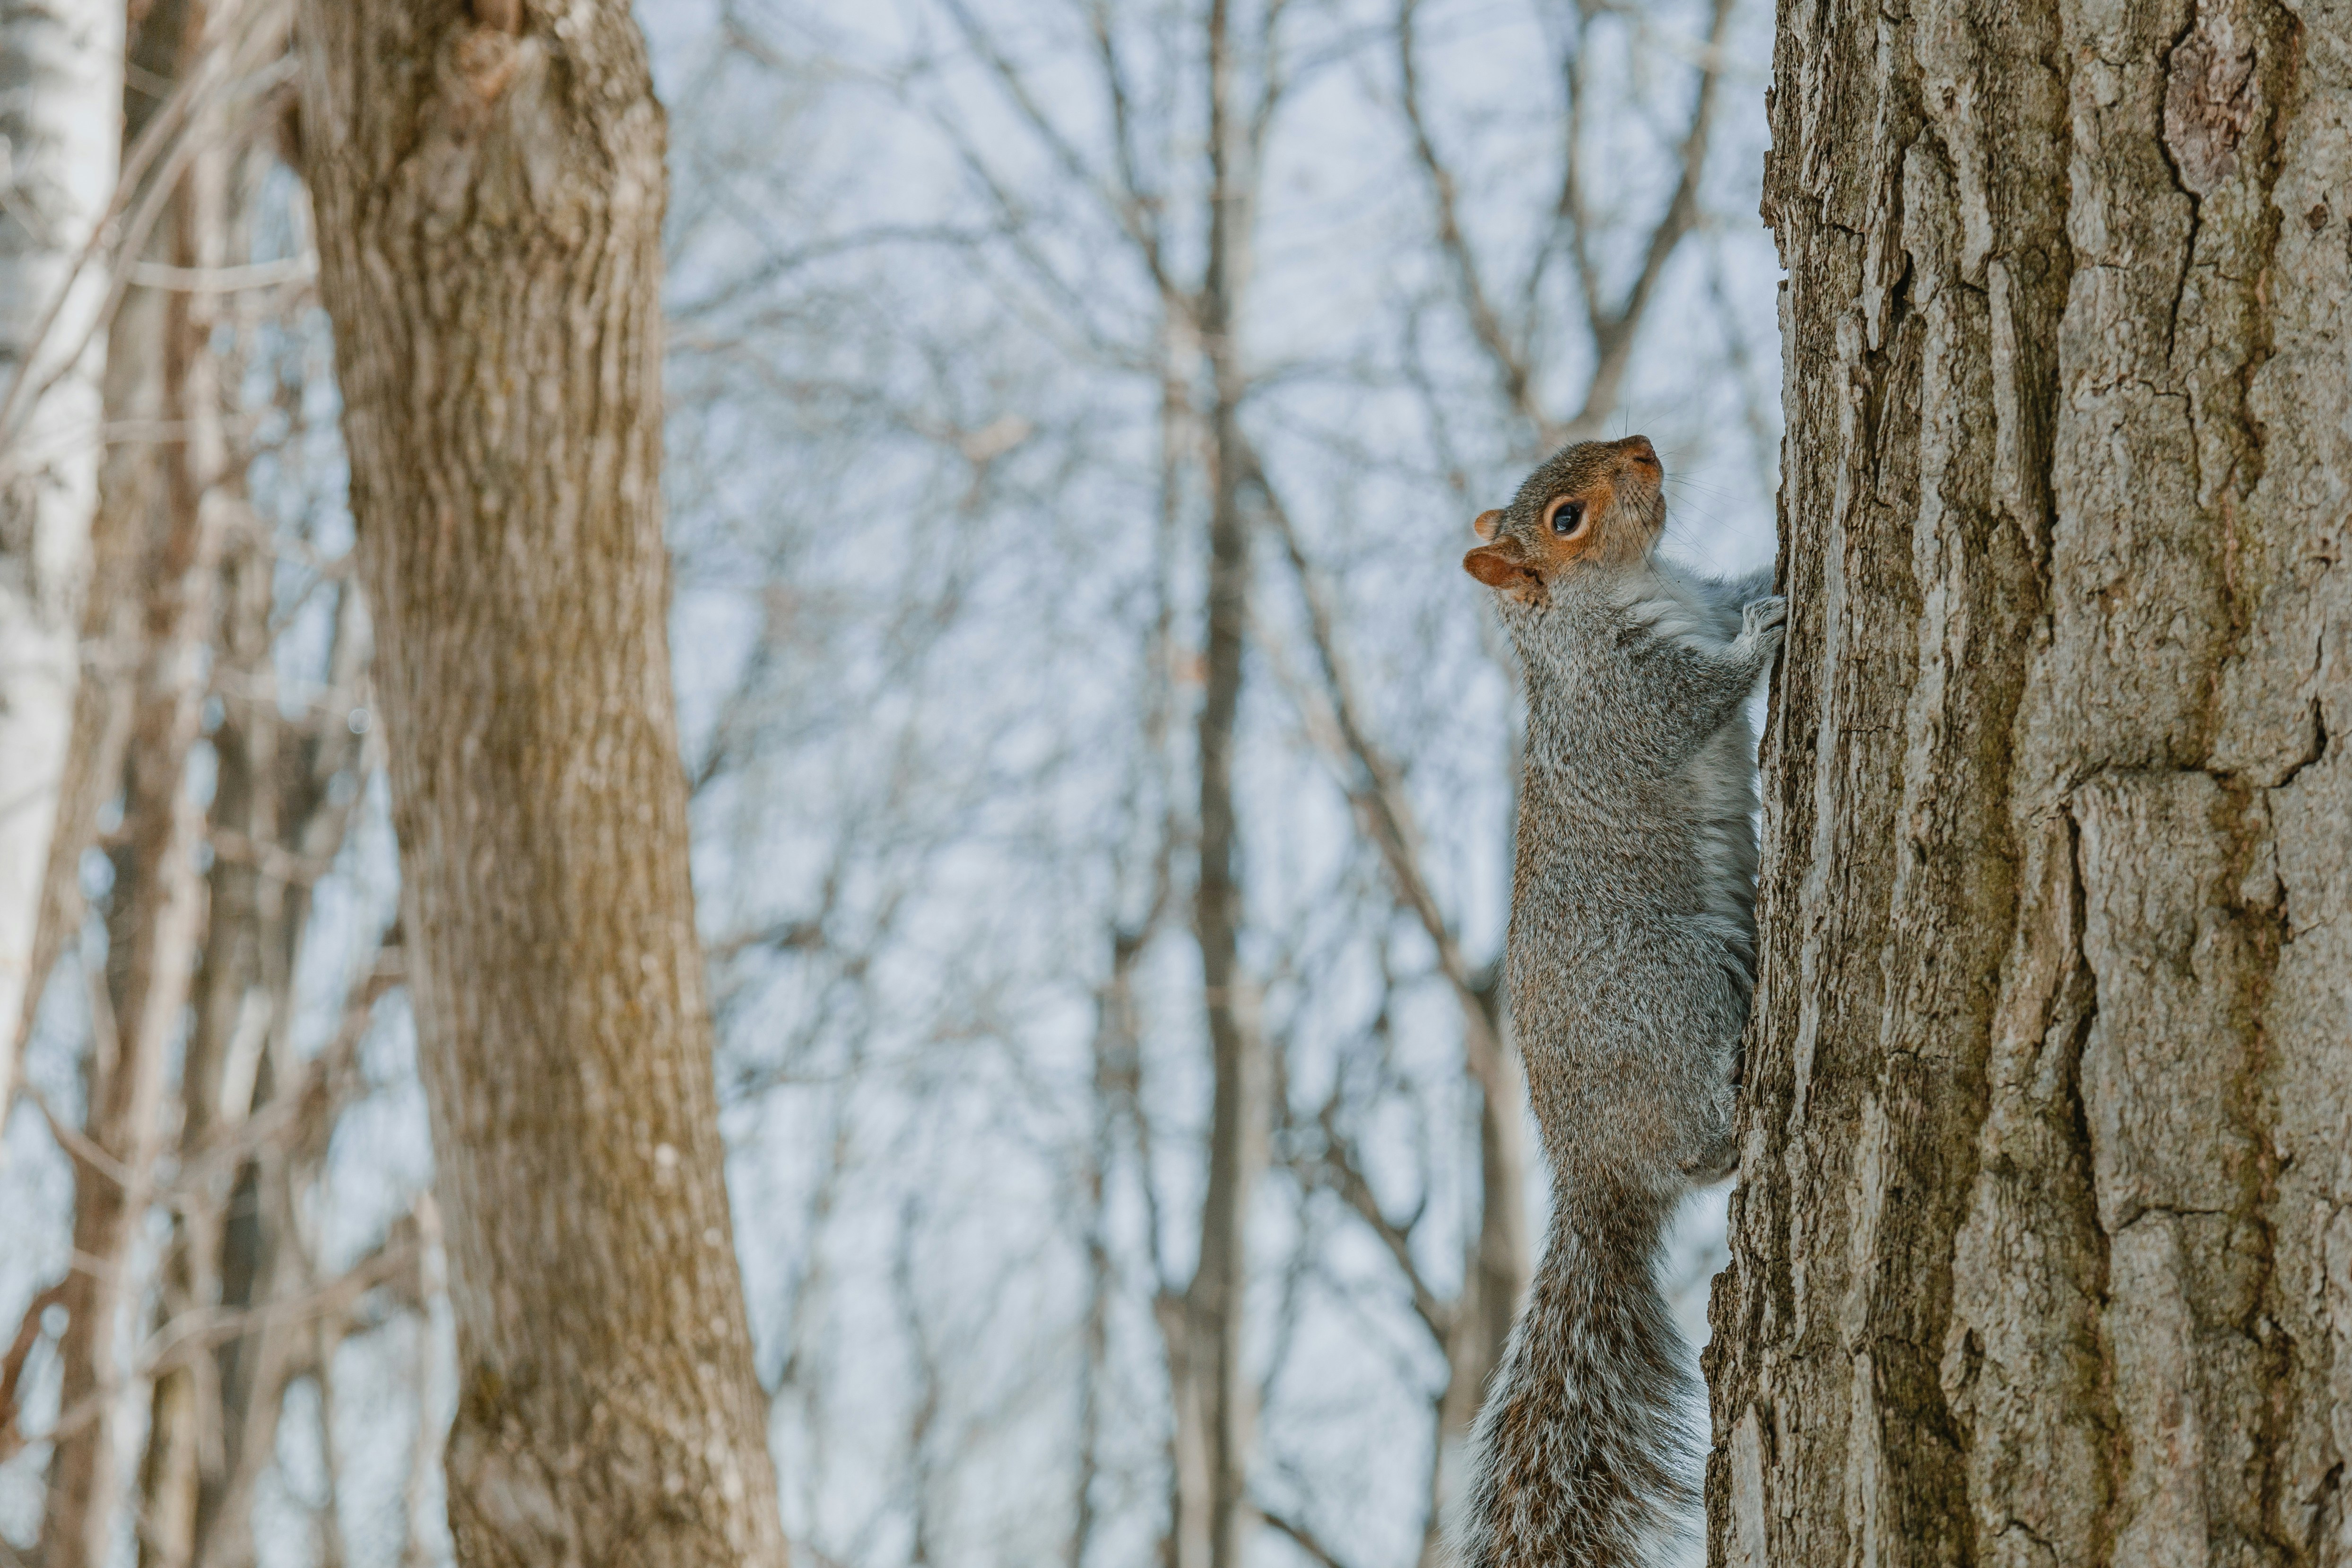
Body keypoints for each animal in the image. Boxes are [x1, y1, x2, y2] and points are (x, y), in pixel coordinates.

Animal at [1454, 434, 1783, 1568]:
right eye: (1565, 518)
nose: (1643, 446)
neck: (1642, 587)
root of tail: (1593, 1163)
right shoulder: (1621, 701)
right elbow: (1689, 705)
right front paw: (1763, 636)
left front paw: (1777, 570)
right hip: (1674, 983)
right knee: (1698, 1149)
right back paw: (1734, 1117)